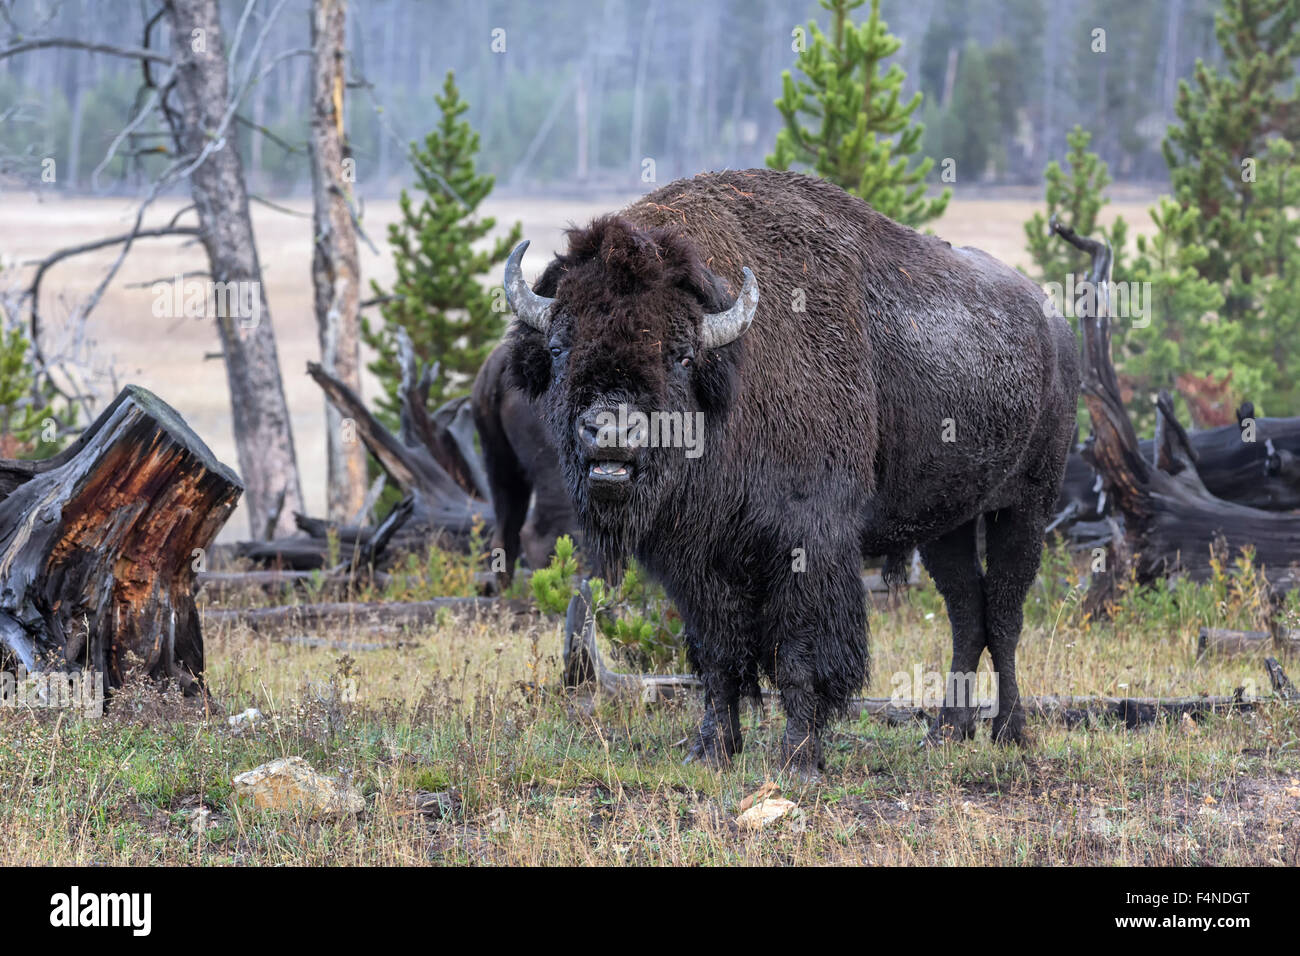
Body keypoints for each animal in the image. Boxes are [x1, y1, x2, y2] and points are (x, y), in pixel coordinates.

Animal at [504, 169, 1079, 776]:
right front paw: (712, 750)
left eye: (681, 355)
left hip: (1025, 508)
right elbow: (718, 656)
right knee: (967, 612)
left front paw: (800, 758)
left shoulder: (809, 544)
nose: (612, 432)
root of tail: (1055, 325)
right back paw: (946, 732)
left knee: (1005, 614)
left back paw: (1010, 732)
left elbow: (800, 655)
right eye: (560, 347)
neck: (735, 365)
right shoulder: (697, 565)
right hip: (947, 524)